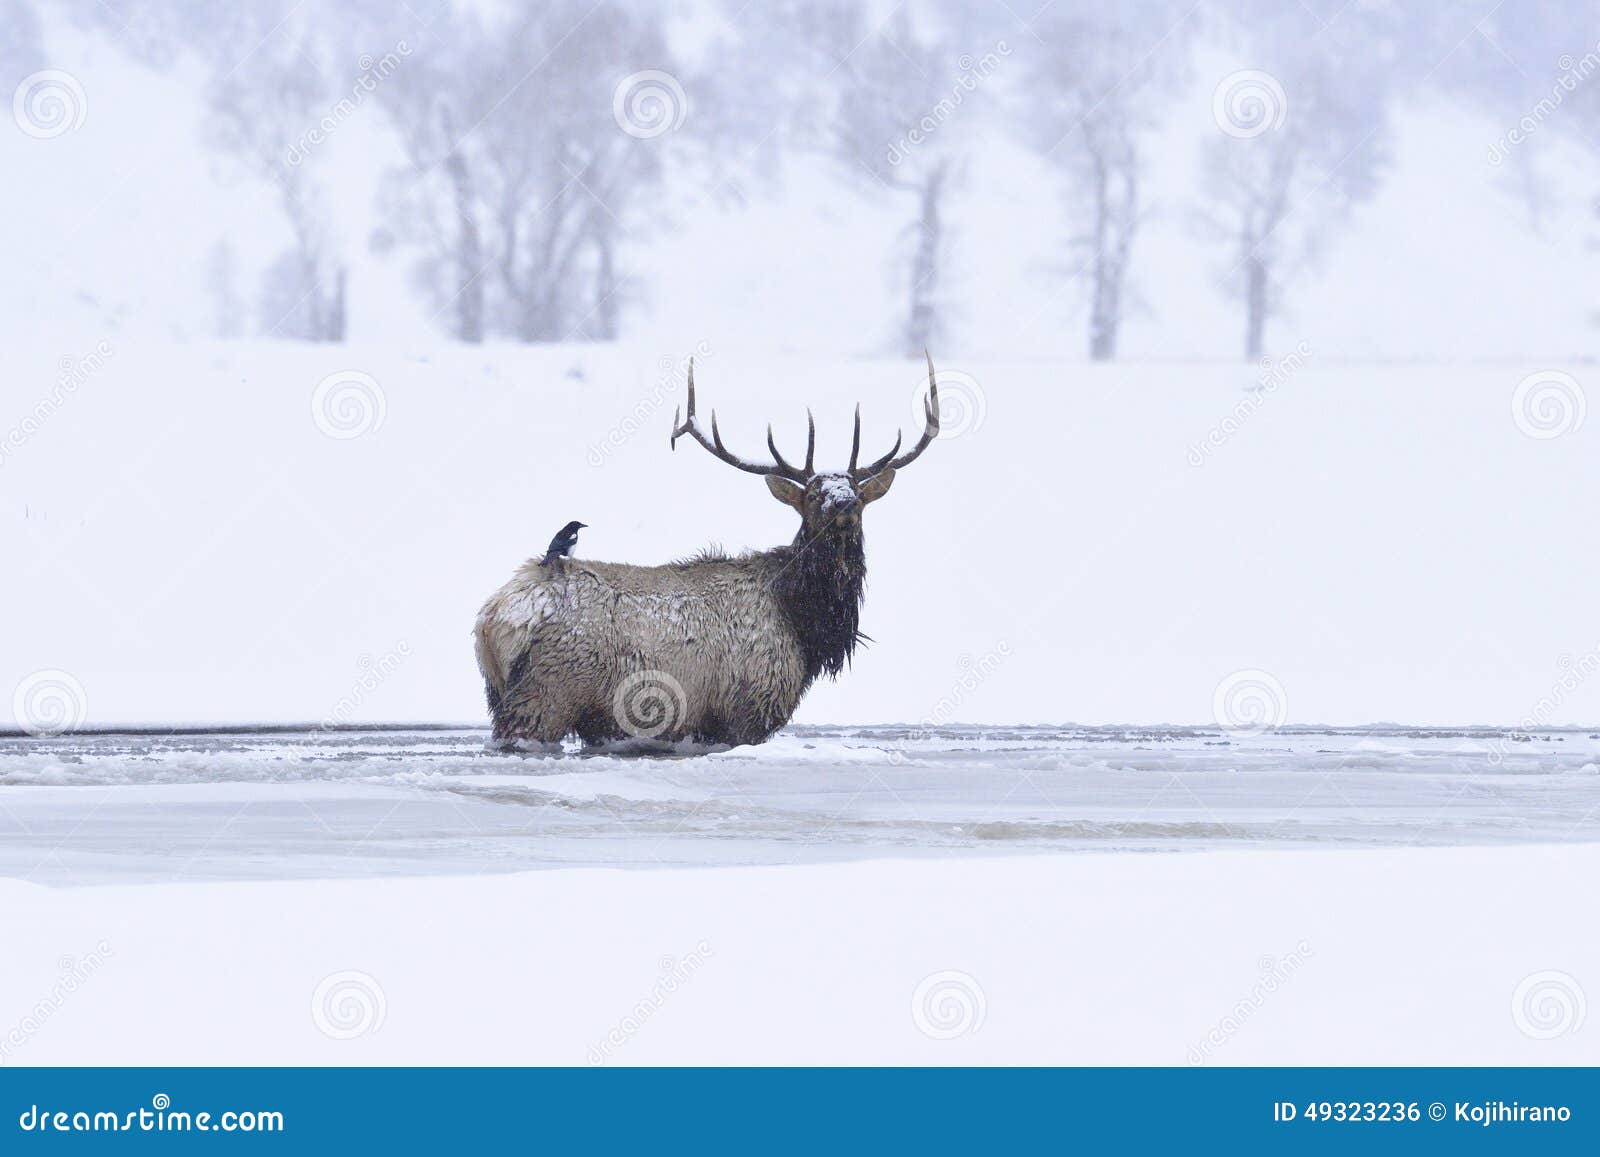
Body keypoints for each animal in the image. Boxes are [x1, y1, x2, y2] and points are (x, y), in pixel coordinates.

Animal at [473, 356, 942, 748]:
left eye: (857, 494)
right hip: (547, 693)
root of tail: (494, 618)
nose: (843, 505)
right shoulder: (750, 706)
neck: (804, 624)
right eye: (813, 494)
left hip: (501, 693)